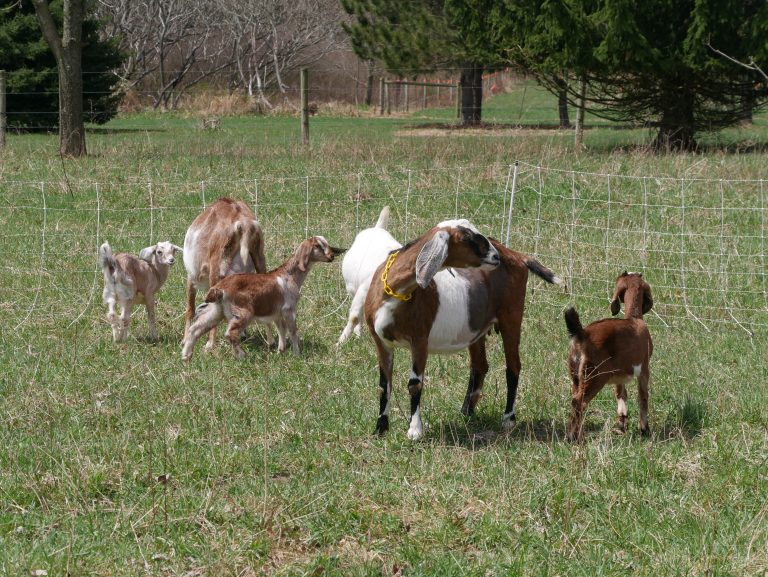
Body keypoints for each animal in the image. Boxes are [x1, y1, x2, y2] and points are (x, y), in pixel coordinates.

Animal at [182, 236, 344, 360]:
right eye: (317, 245)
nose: (331, 256)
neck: (289, 276)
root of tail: (220, 288)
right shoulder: (289, 309)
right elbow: (293, 331)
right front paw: (297, 354)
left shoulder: (277, 313)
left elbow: (281, 331)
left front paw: (280, 352)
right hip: (243, 312)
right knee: (230, 333)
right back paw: (242, 355)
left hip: (217, 311)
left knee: (196, 329)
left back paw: (186, 356)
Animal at [183, 197, 267, 349]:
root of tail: (242, 224)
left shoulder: (191, 278)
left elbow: (190, 309)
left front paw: (185, 340)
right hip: (260, 262)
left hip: (215, 273)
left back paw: (210, 345)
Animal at [337, 206, 402, 346]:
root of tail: (378, 228)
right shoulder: (364, 289)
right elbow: (355, 316)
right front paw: (341, 342)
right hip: (352, 288)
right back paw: (357, 334)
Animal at [364, 220, 564, 440]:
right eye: (467, 238)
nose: (495, 257)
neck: (393, 291)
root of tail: (518, 256)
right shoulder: (380, 341)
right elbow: (384, 385)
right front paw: (380, 429)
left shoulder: (420, 339)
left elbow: (414, 384)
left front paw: (415, 430)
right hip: (476, 330)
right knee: (480, 365)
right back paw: (466, 412)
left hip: (511, 316)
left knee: (513, 366)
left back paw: (508, 419)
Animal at [564, 272, 654, 442]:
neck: (634, 318)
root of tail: (582, 334)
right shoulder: (644, 368)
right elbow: (643, 397)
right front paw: (644, 429)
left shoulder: (619, 376)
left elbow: (621, 395)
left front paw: (622, 425)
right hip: (594, 376)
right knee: (579, 402)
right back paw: (577, 437)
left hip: (576, 376)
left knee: (574, 400)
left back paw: (573, 435)